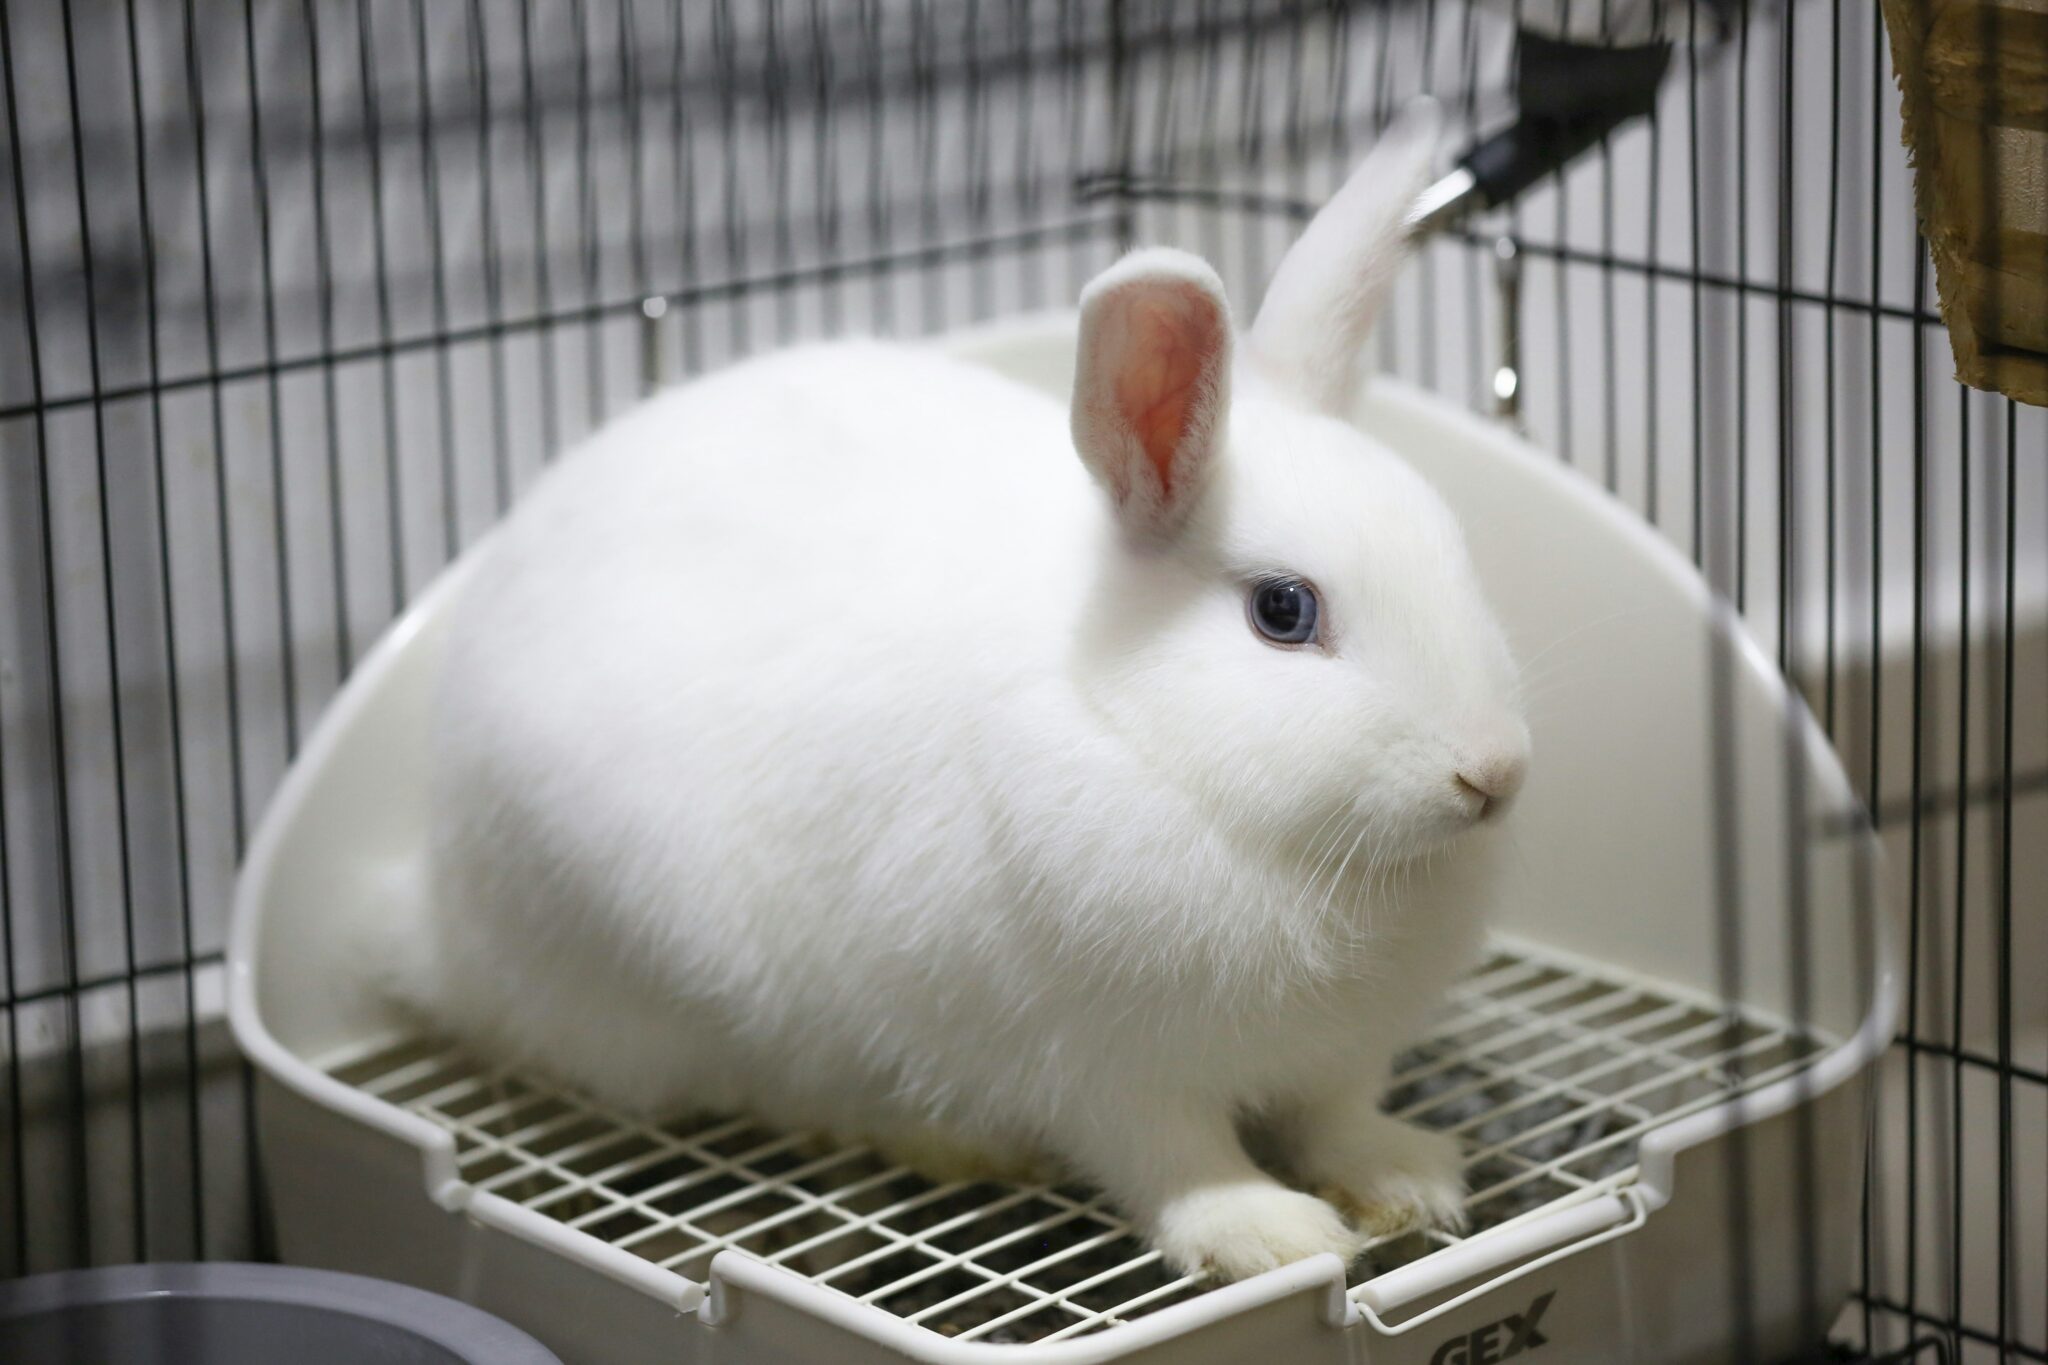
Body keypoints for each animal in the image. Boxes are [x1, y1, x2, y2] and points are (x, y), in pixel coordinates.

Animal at [406, 107, 1530, 1283]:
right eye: (1282, 610)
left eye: (1451, 549)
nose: (1493, 773)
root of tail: (436, 923)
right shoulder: (1097, 1067)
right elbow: (1176, 1162)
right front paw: (1265, 1234)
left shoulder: (1339, 1055)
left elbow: (1336, 1118)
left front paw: (1406, 1180)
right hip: (670, 970)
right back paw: (945, 1143)